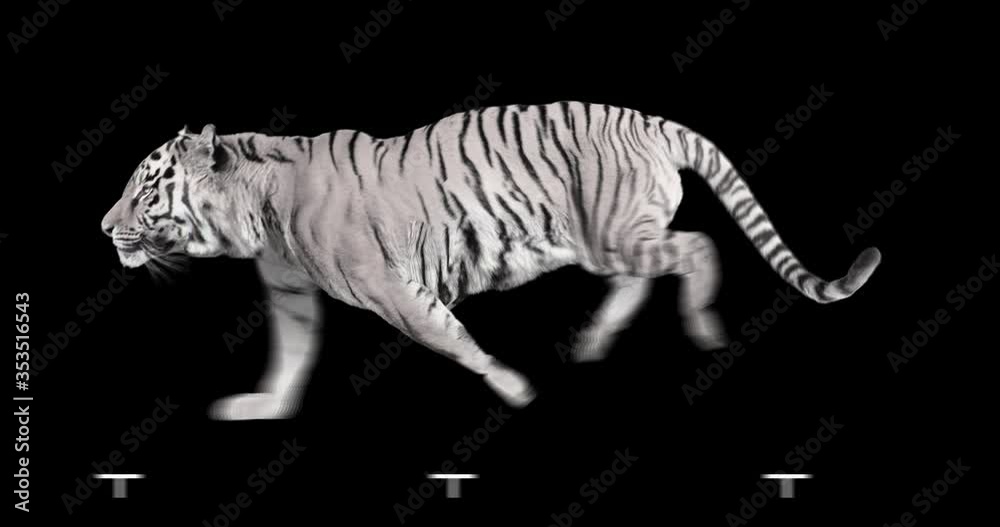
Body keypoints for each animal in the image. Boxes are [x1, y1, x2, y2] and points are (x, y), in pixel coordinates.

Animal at [100, 101, 881, 420]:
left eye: (145, 186)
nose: (104, 227)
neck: (254, 211)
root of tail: (650, 120)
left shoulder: (393, 287)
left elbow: (452, 338)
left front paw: (512, 387)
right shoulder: (293, 293)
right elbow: (291, 354)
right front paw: (265, 405)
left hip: (615, 231)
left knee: (699, 247)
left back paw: (706, 326)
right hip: (608, 237)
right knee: (644, 276)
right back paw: (595, 344)